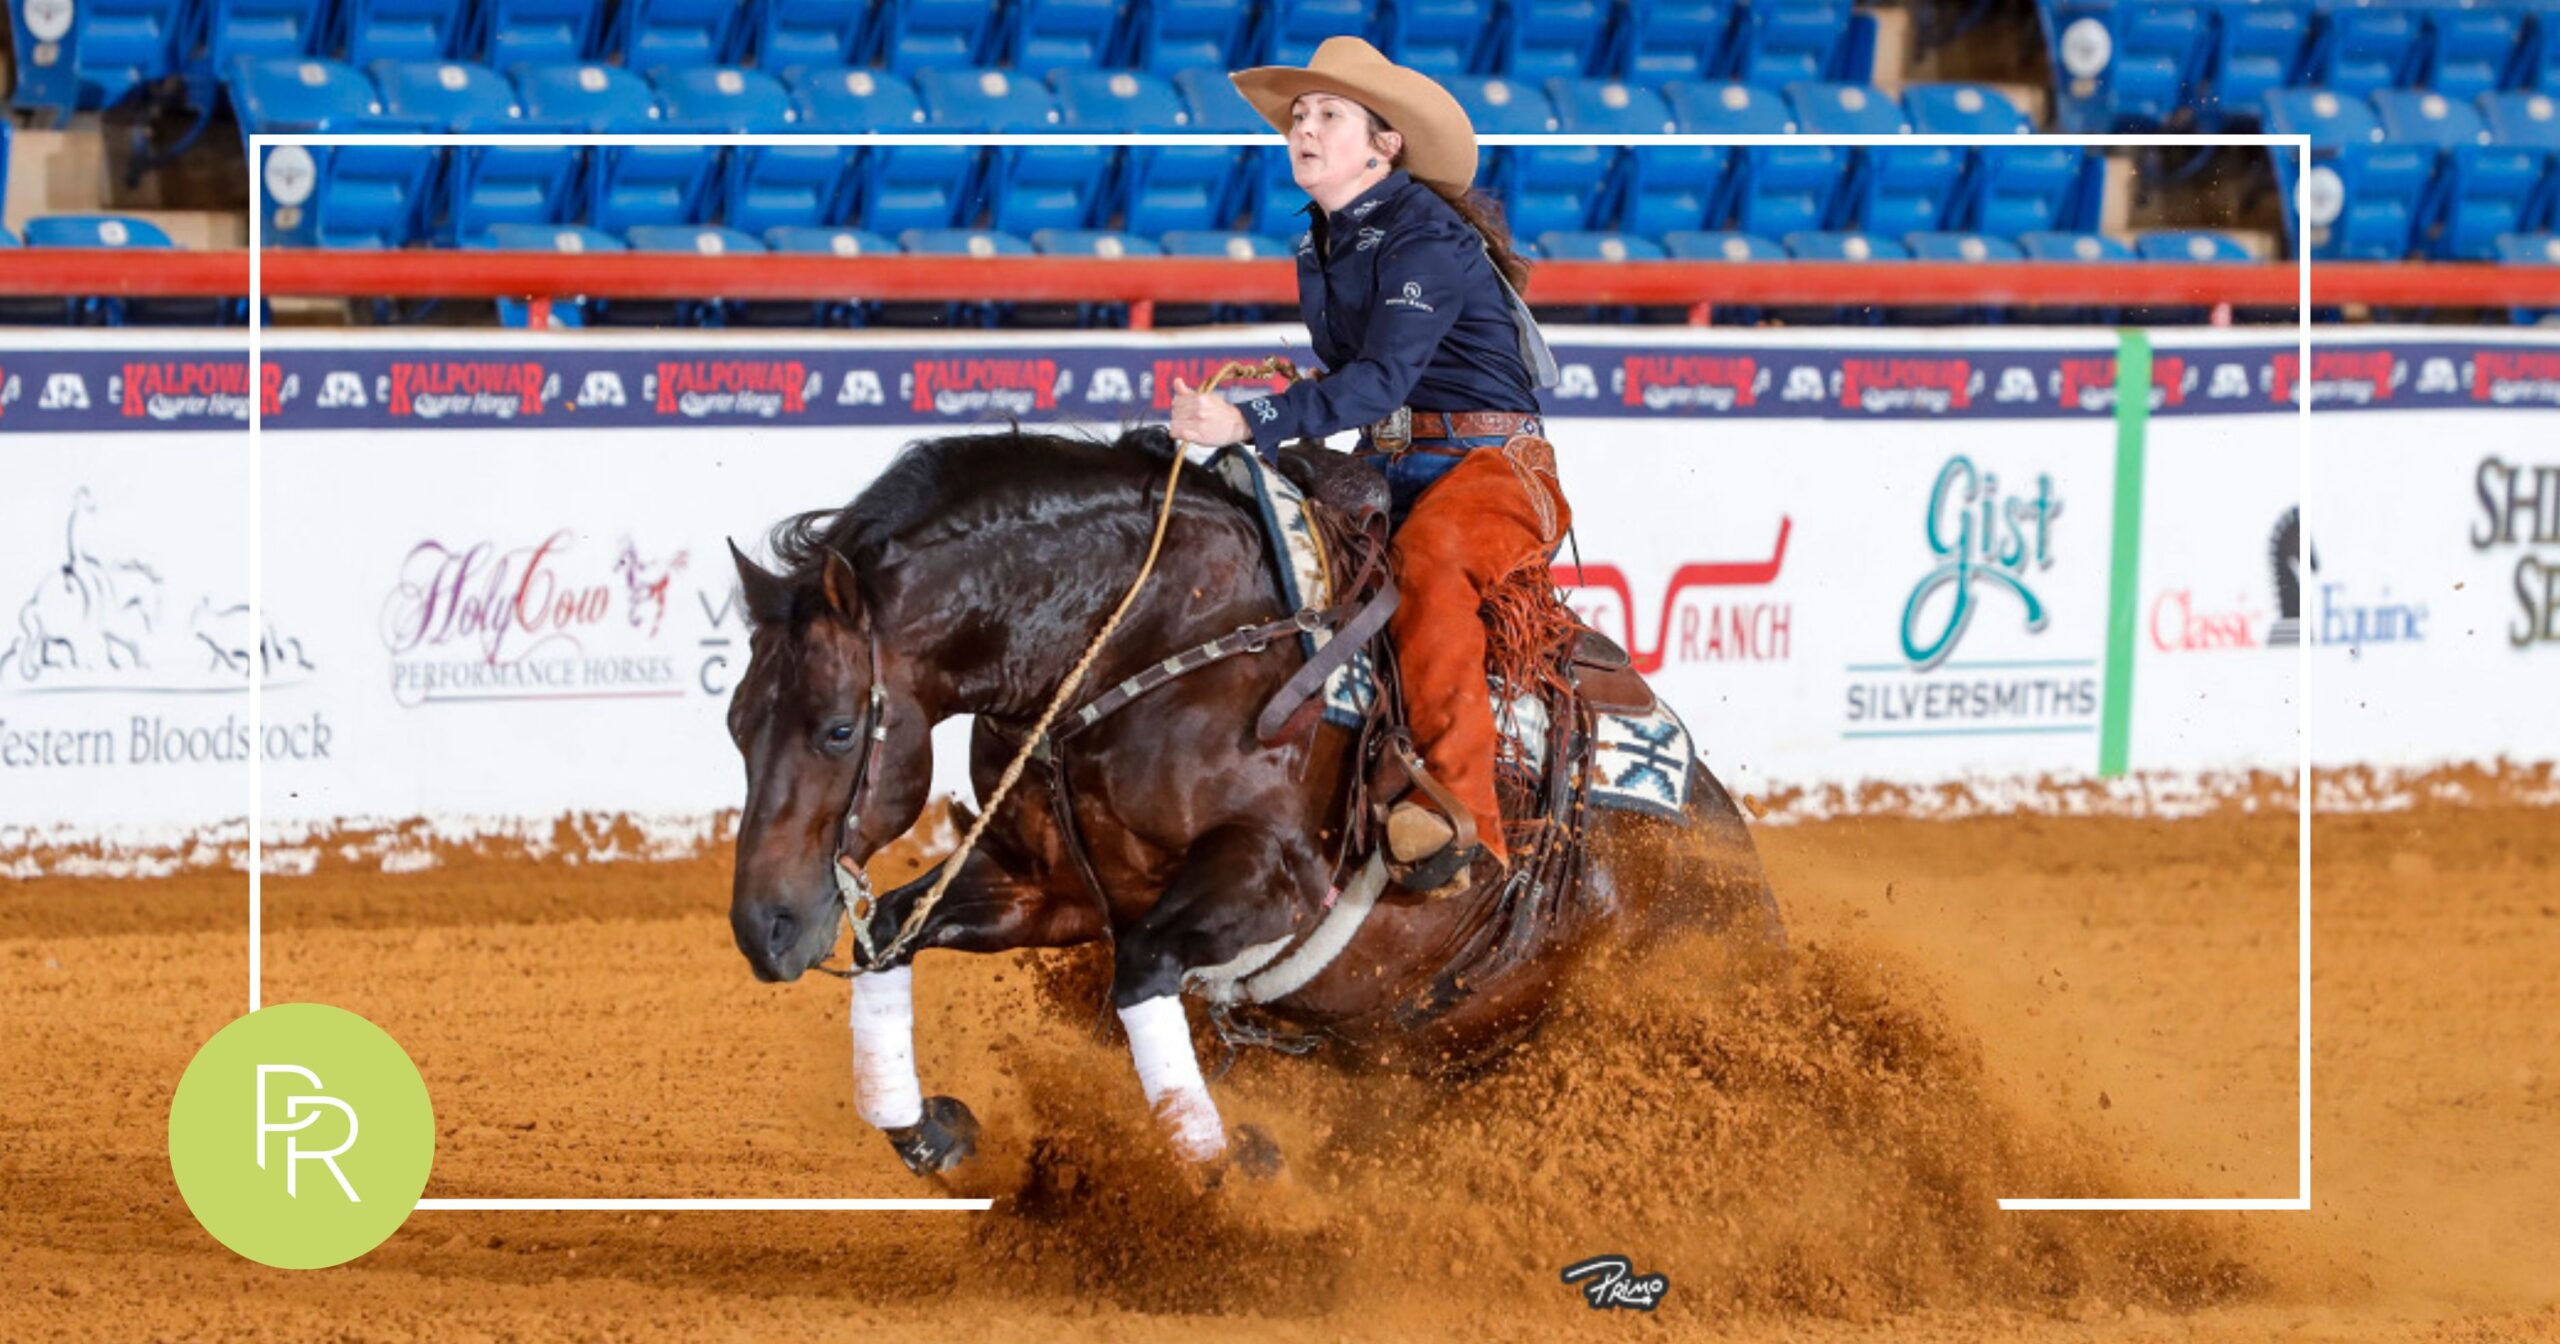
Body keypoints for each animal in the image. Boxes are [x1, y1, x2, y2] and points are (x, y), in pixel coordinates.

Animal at [724, 424, 1782, 1176]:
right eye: (737, 722)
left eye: (837, 730)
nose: (764, 930)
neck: (1148, 636)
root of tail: (1742, 875)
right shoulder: (1047, 883)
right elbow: (890, 930)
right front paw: (929, 1128)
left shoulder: (1274, 881)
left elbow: (1143, 970)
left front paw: (1233, 1164)